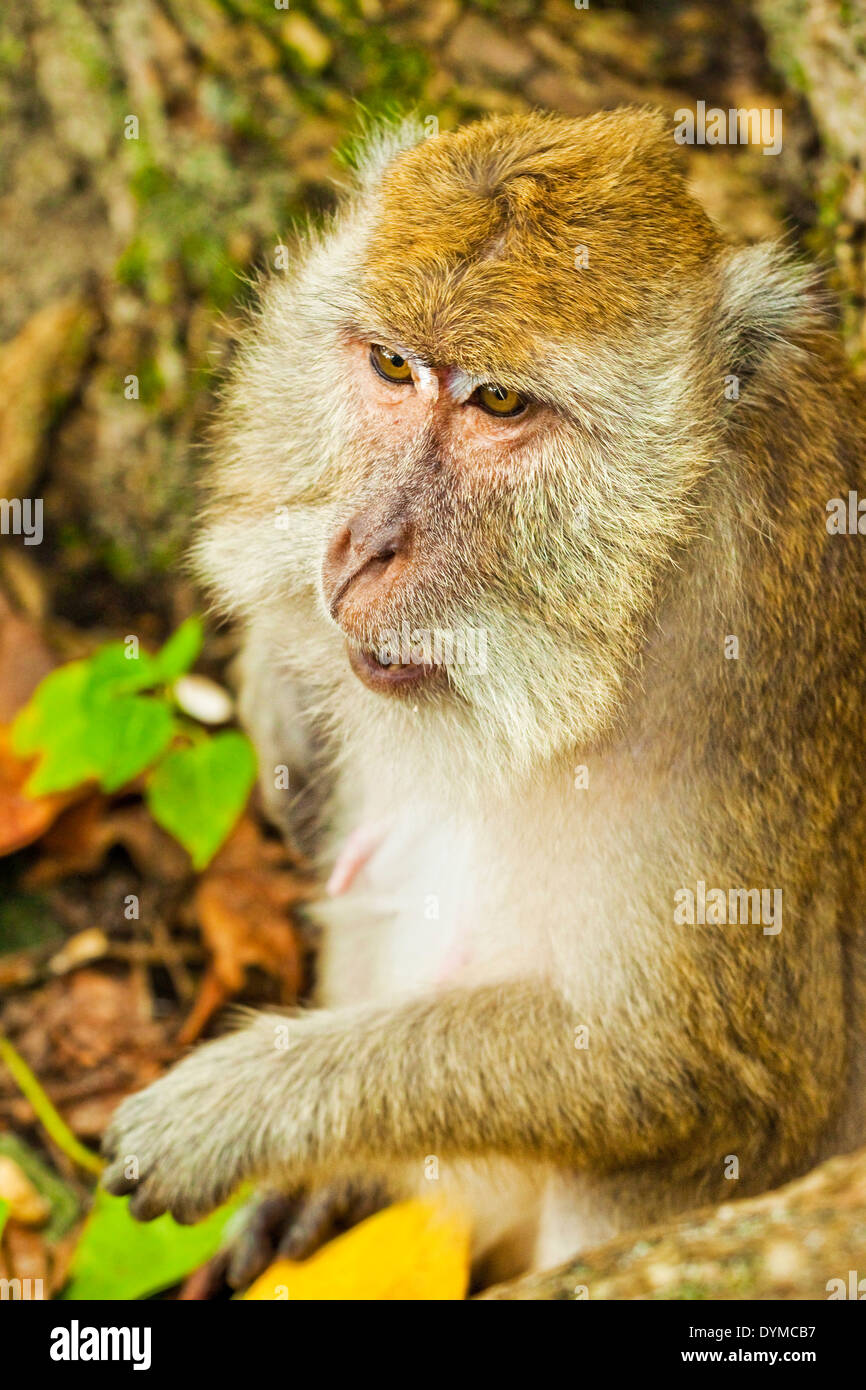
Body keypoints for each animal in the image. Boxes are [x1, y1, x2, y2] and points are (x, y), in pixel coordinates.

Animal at [102, 106, 866, 1289]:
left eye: (499, 401)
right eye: (390, 365)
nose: (360, 551)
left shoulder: (749, 668)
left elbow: (693, 1064)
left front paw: (234, 1106)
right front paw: (278, 679)